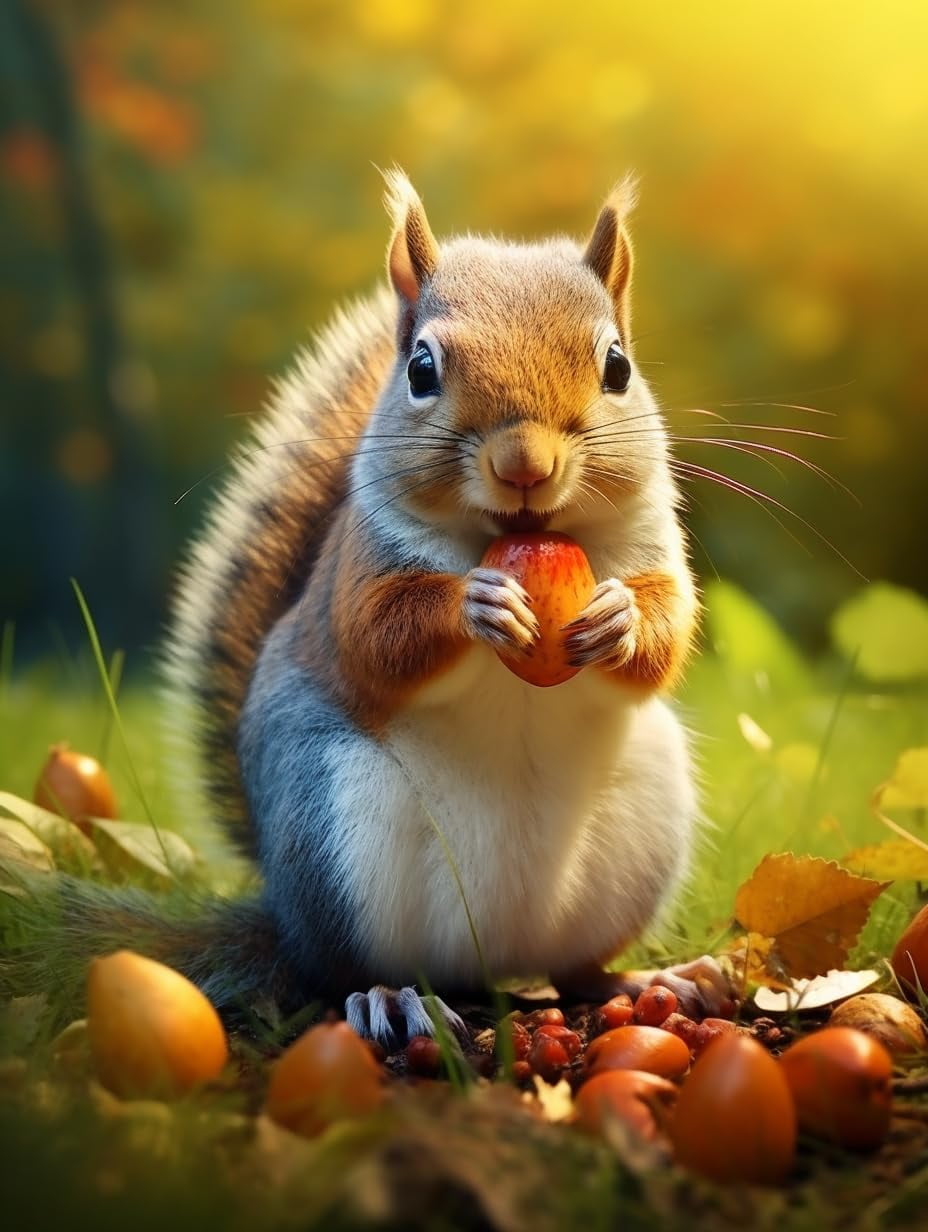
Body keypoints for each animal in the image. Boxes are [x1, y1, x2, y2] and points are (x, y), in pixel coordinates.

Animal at [28, 172, 733, 1043]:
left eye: (618, 365)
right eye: (421, 368)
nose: (524, 464)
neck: (508, 537)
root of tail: (496, 963)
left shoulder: (652, 544)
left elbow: (668, 628)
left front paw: (621, 619)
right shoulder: (355, 569)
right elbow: (375, 638)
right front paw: (475, 602)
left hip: (639, 825)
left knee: (578, 972)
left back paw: (648, 978)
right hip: (337, 836)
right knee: (341, 974)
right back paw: (393, 999)